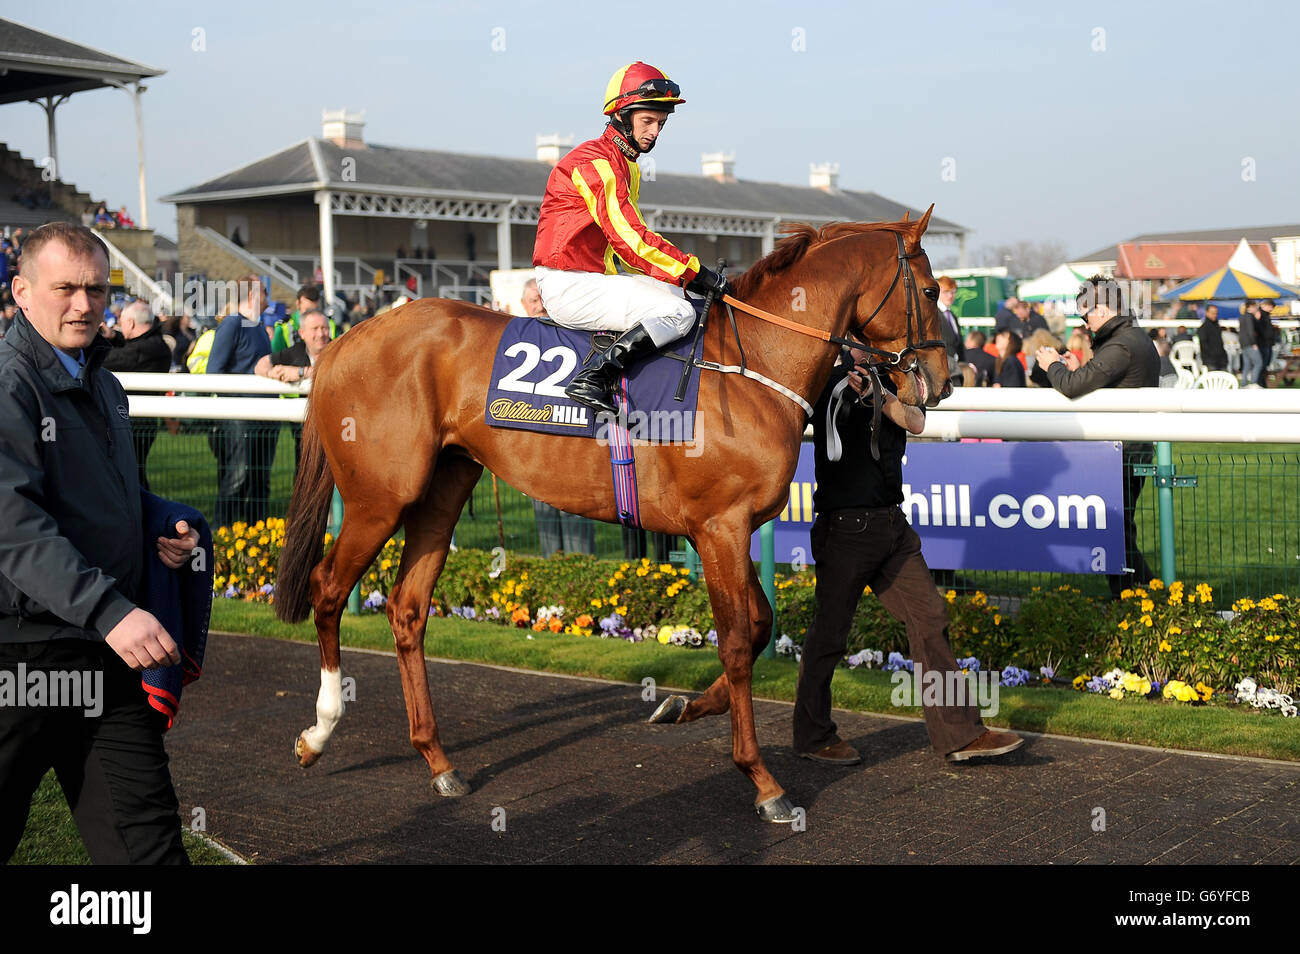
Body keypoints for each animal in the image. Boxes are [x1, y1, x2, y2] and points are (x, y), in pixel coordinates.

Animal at [274, 207, 951, 822]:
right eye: (930, 290)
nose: (941, 382)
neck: (751, 366)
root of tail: (339, 343)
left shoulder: (723, 530)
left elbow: (758, 629)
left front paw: (682, 707)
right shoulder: (719, 526)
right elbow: (737, 643)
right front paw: (762, 781)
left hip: (443, 489)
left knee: (407, 609)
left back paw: (439, 763)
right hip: (380, 497)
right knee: (327, 589)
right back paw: (318, 732)